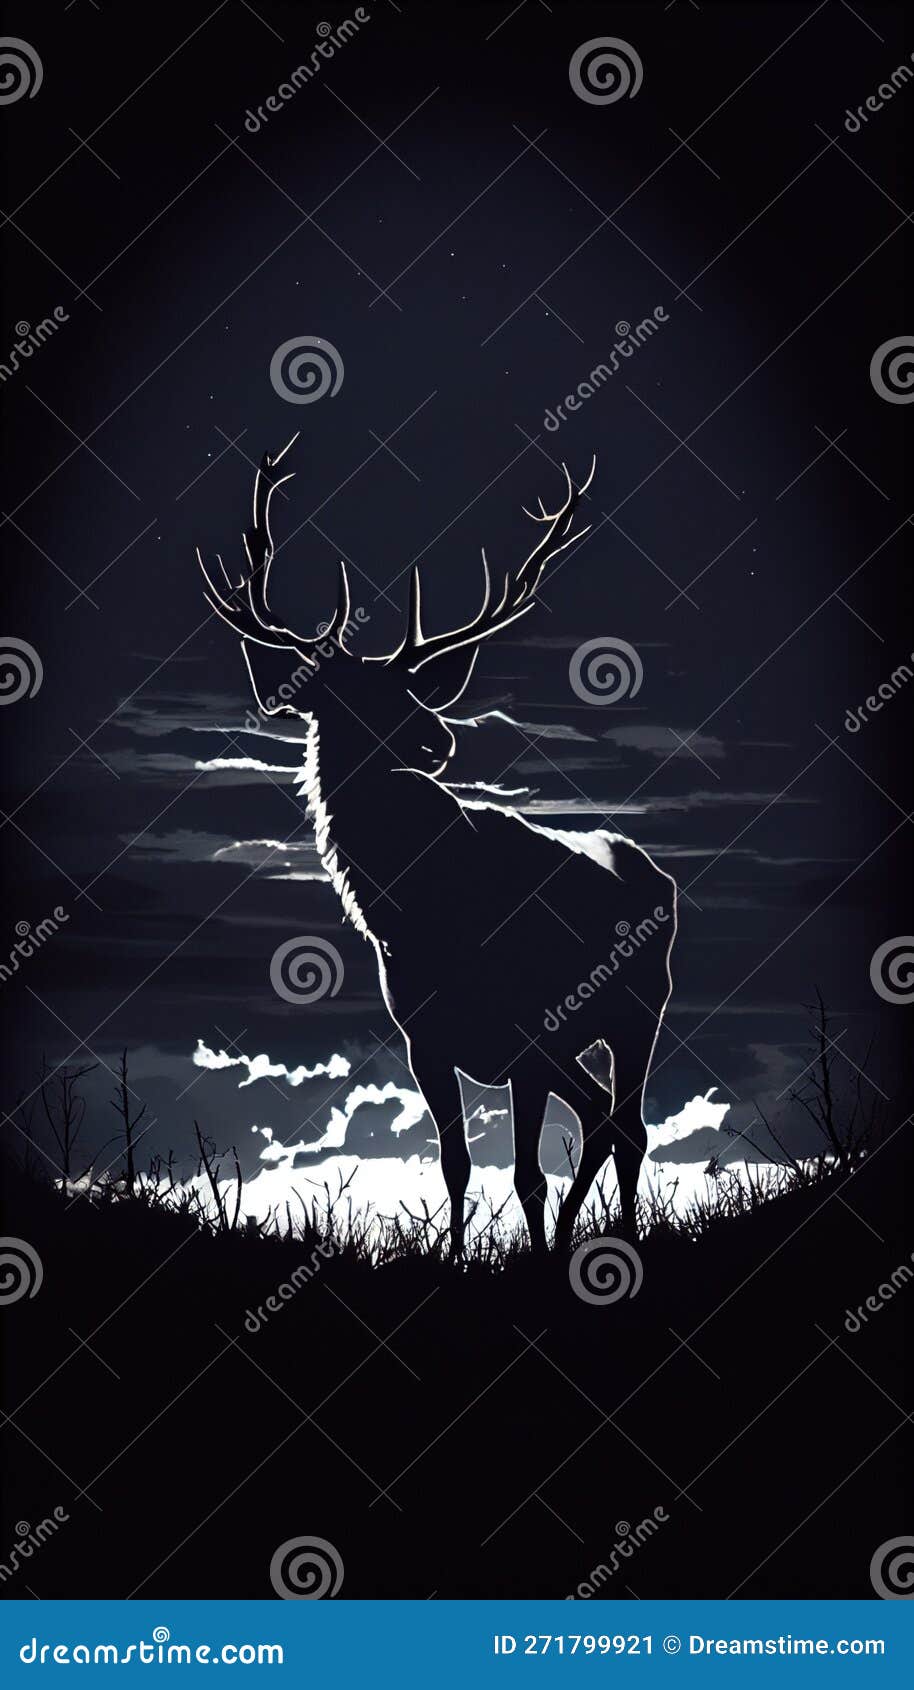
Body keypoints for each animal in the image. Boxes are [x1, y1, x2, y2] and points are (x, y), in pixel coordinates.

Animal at [198, 437, 677, 1259]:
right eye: (349, 698)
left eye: (413, 691)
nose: (441, 739)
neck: (420, 913)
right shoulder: (425, 1039)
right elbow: (455, 1164)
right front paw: (456, 1260)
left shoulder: (527, 1033)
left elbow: (526, 1173)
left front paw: (536, 1259)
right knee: (603, 1118)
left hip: (639, 1009)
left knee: (628, 1125)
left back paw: (617, 1237)